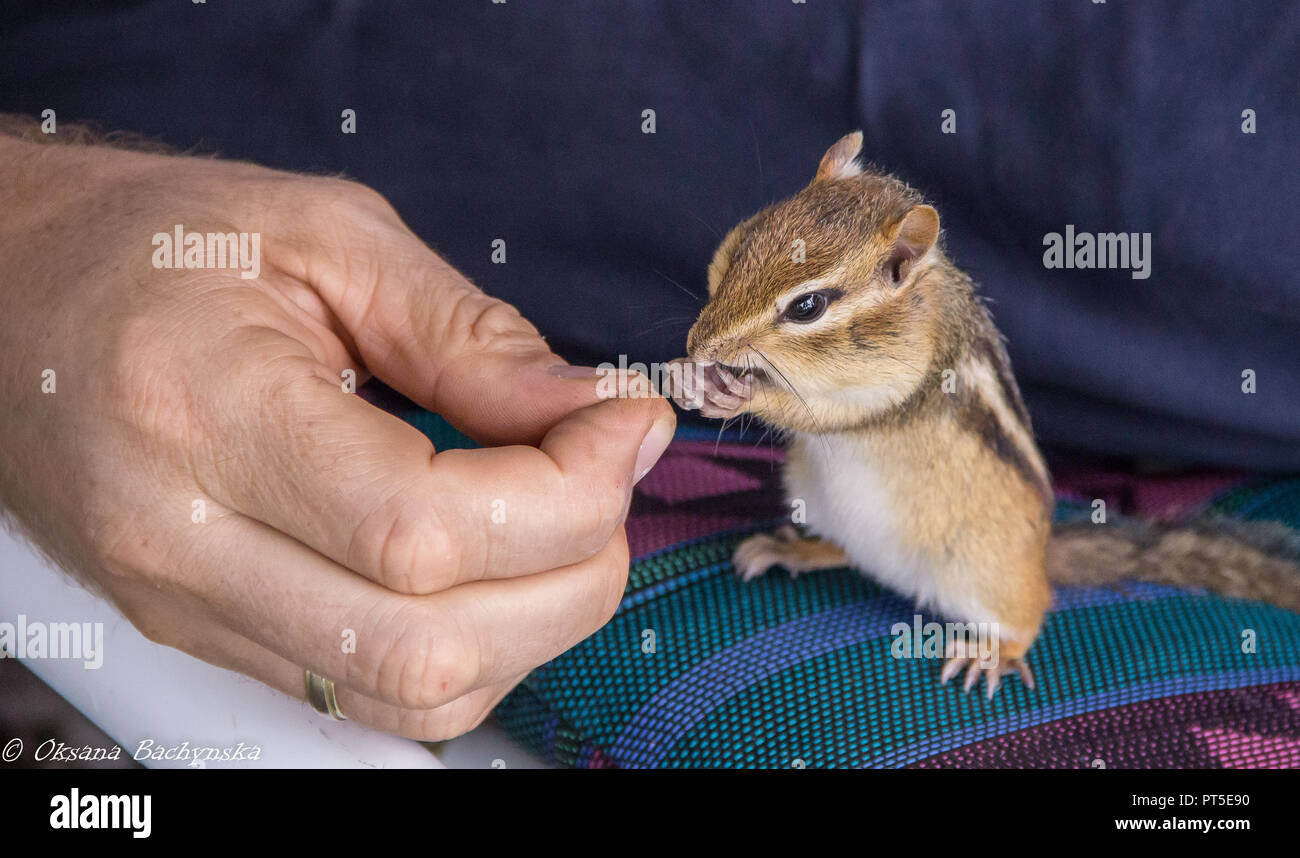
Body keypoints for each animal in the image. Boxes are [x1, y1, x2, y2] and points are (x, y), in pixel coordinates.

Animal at [666, 131, 1300, 696]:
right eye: (742, 242)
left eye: (807, 306)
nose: (699, 345)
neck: (916, 306)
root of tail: (1040, 554)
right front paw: (686, 374)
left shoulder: (896, 387)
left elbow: (822, 411)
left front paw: (735, 394)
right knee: (844, 550)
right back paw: (792, 548)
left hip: (988, 574)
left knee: (1033, 608)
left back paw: (997, 652)